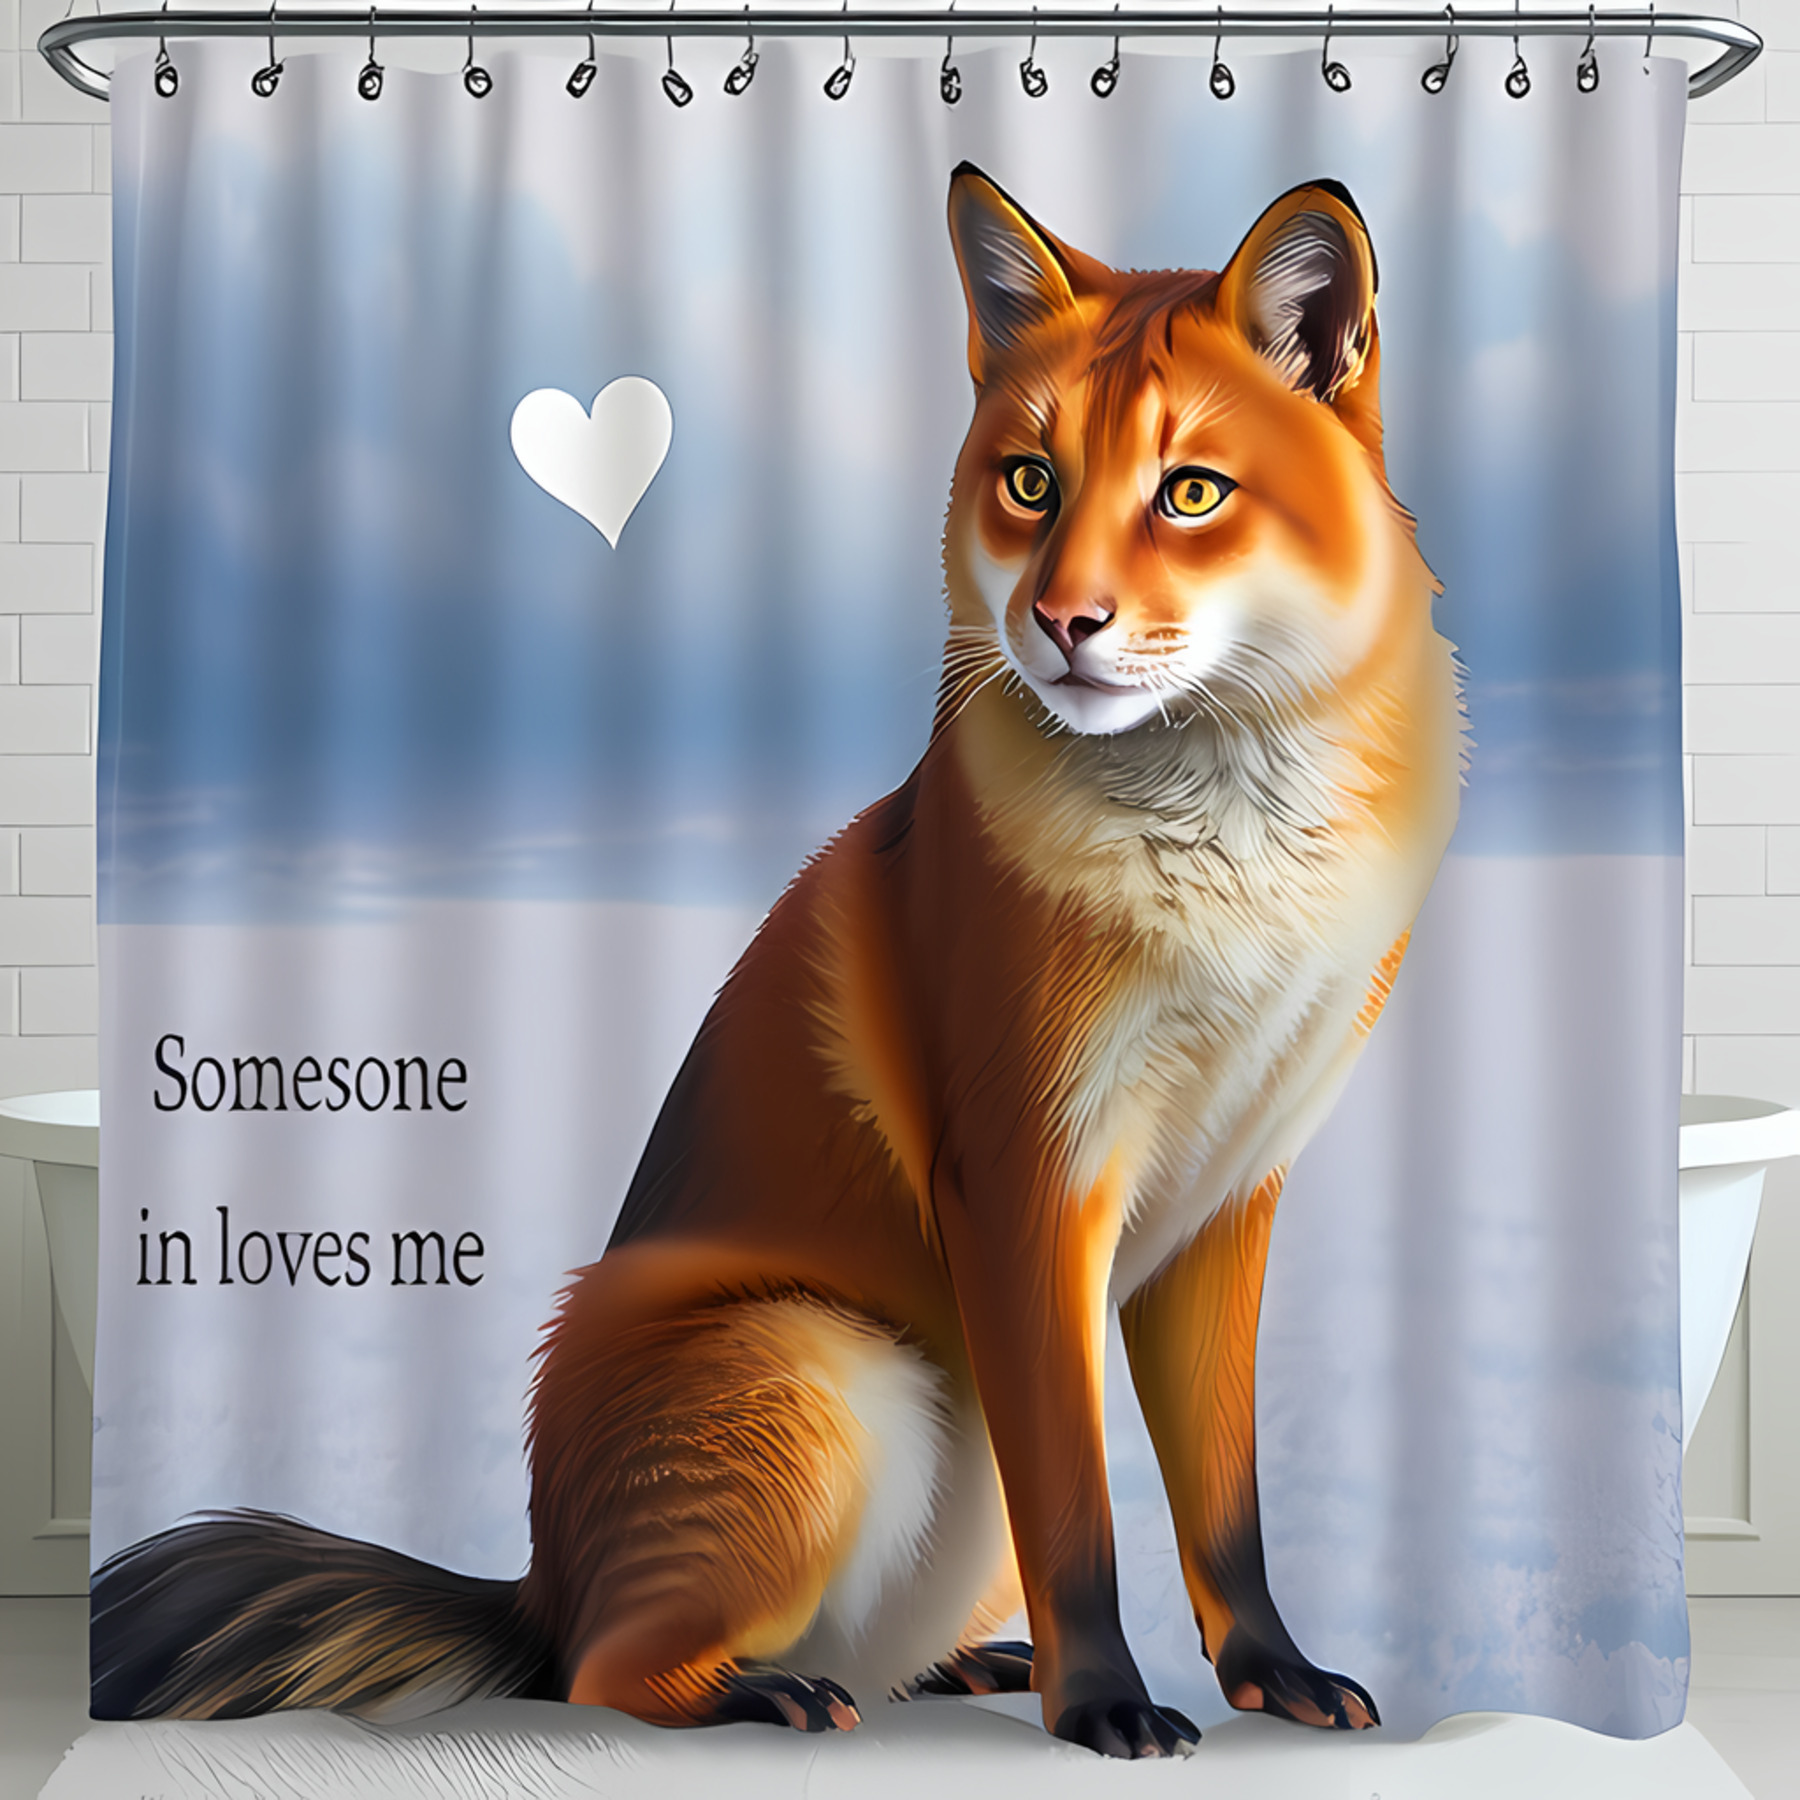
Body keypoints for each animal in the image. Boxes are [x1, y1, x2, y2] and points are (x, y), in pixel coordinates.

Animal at [90, 164, 1462, 1760]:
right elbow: (1082, 1515)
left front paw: (1271, 1676)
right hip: (830, 1374)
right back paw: (770, 1688)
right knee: (605, 1672)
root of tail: (536, 1578)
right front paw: (1108, 1705)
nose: (1060, 623)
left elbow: (1225, 1502)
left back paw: (954, 1668)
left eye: (1190, 491)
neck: (1224, 871)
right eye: (1032, 483)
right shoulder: (1027, 1179)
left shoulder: (1229, 1197)